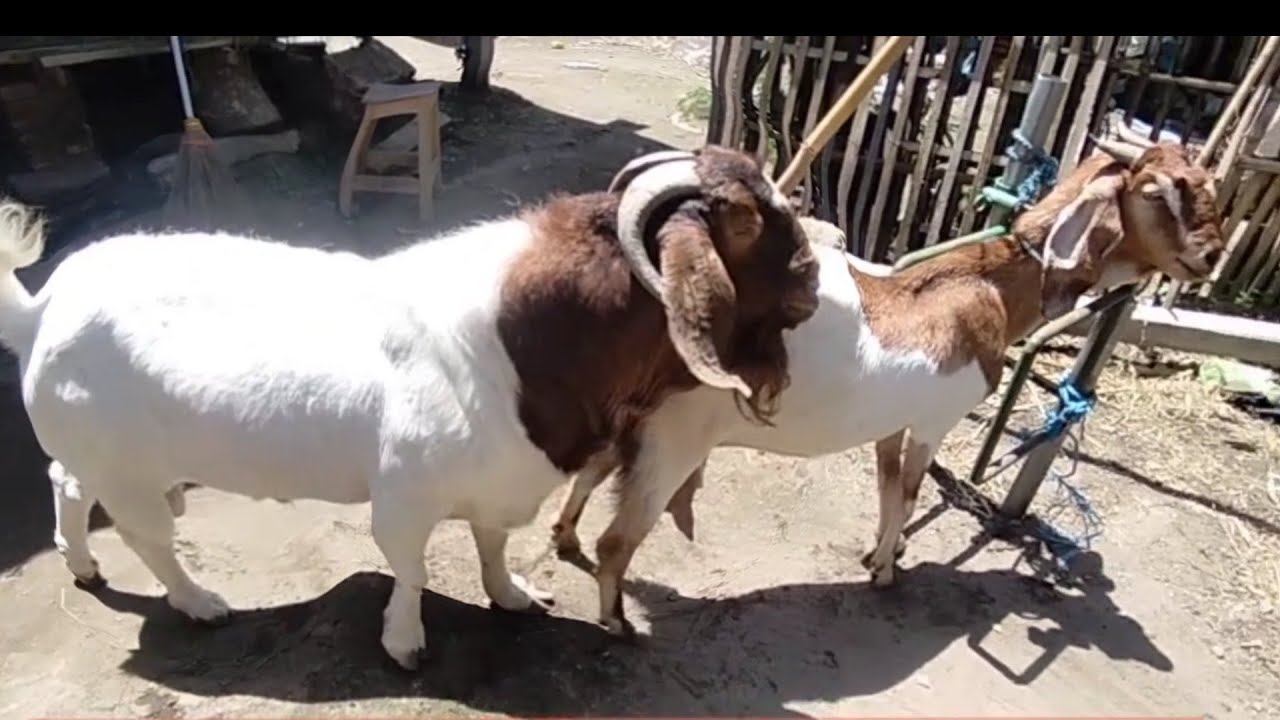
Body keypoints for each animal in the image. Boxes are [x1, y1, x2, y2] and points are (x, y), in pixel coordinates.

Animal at [0, 144, 821, 670]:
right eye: (744, 221)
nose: (815, 276)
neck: (525, 339)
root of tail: (42, 308)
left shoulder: (504, 482)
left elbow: (492, 544)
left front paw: (512, 596)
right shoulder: (403, 495)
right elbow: (412, 567)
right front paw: (404, 644)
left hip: (98, 456)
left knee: (63, 483)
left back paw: (82, 564)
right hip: (130, 473)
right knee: (152, 540)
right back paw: (200, 603)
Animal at [550, 140, 1226, 634]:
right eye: (1158, 191)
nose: (1209, 258)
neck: (992, 288)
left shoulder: (890, 426)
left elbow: (885, 488)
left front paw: (883, 552)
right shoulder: (934, 423)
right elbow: (907, 492)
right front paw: (884, 571)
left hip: (637, 423)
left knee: (589, 477)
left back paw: (564, 539)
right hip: (675, 441)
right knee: (617, 541)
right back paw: (616, 624)